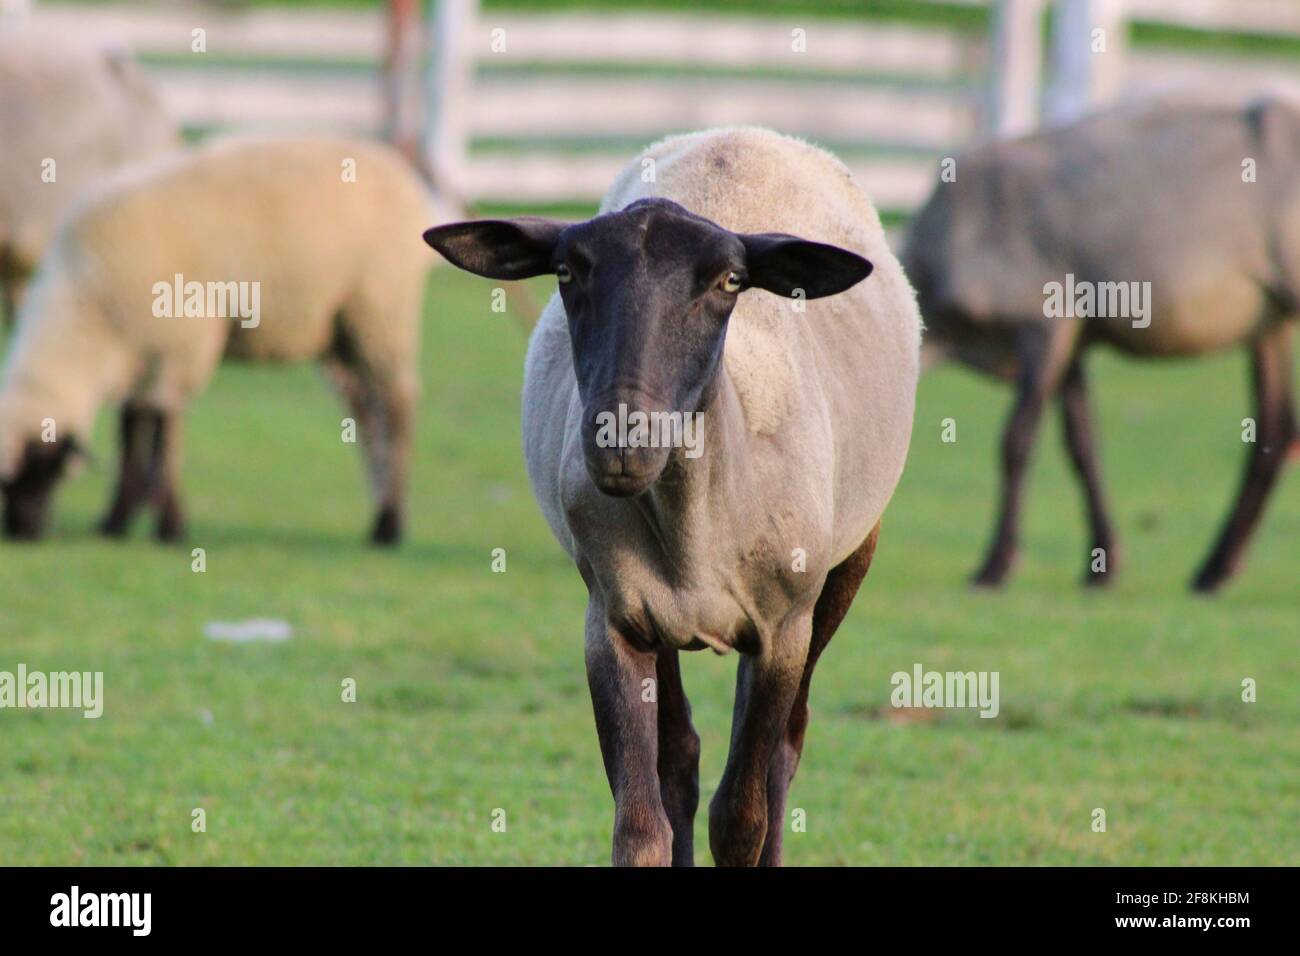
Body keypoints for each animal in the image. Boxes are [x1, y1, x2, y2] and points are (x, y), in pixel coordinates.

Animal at [0, 135, 448, 544]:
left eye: (37, 468)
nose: (20, 532)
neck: (90, 307)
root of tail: (401, 171)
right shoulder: (141, 350)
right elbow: (131, 428)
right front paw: (116, 521)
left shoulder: (181, 344)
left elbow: (164, 430)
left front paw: (170, 526)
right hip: (339, 331)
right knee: (366, 412)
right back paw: (378, 514)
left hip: (380, 309)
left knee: (397, 407)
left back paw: (390, 525)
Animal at [425, 127, 920, 866]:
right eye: (566, 272)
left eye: (729, 281)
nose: (622, 437)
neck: (696, 529)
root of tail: (747, 133)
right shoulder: (613, 619)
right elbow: (640, 826)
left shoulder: (782, 629)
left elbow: (741, 817)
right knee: (680, 760)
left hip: (845, 563)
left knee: (784, 754)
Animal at [903, 95, 1300, 593]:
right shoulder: (1071, 341)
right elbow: (1083, 446)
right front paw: (1104, 561)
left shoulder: (1044, 323)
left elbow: (1017, 441)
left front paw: (996, 565)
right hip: (1269, 318)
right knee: (1276, 432)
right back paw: (1216, 568)